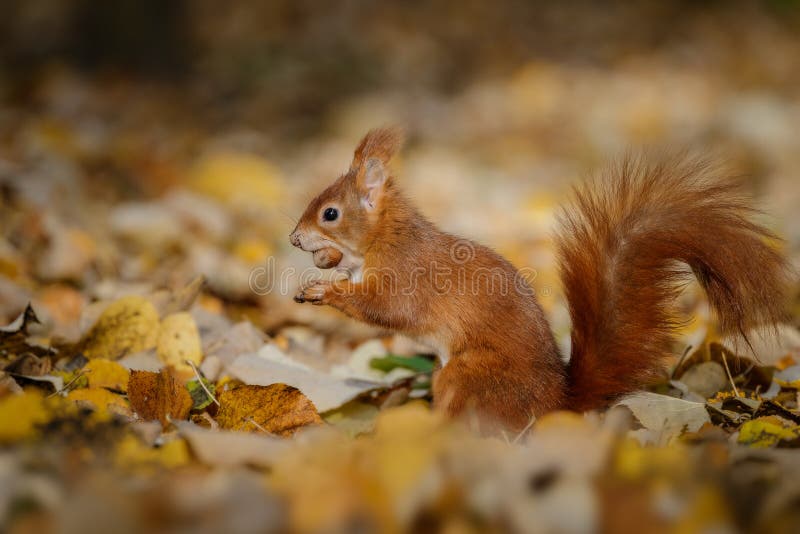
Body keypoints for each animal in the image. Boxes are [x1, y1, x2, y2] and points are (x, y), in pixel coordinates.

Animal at [290, 127, 790, 432]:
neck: (383, 238)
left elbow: (388, 308)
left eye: (330, 213)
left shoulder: (406, 273)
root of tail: (557, 403)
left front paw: (325, 291)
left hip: (466, 376)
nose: (294, 238)